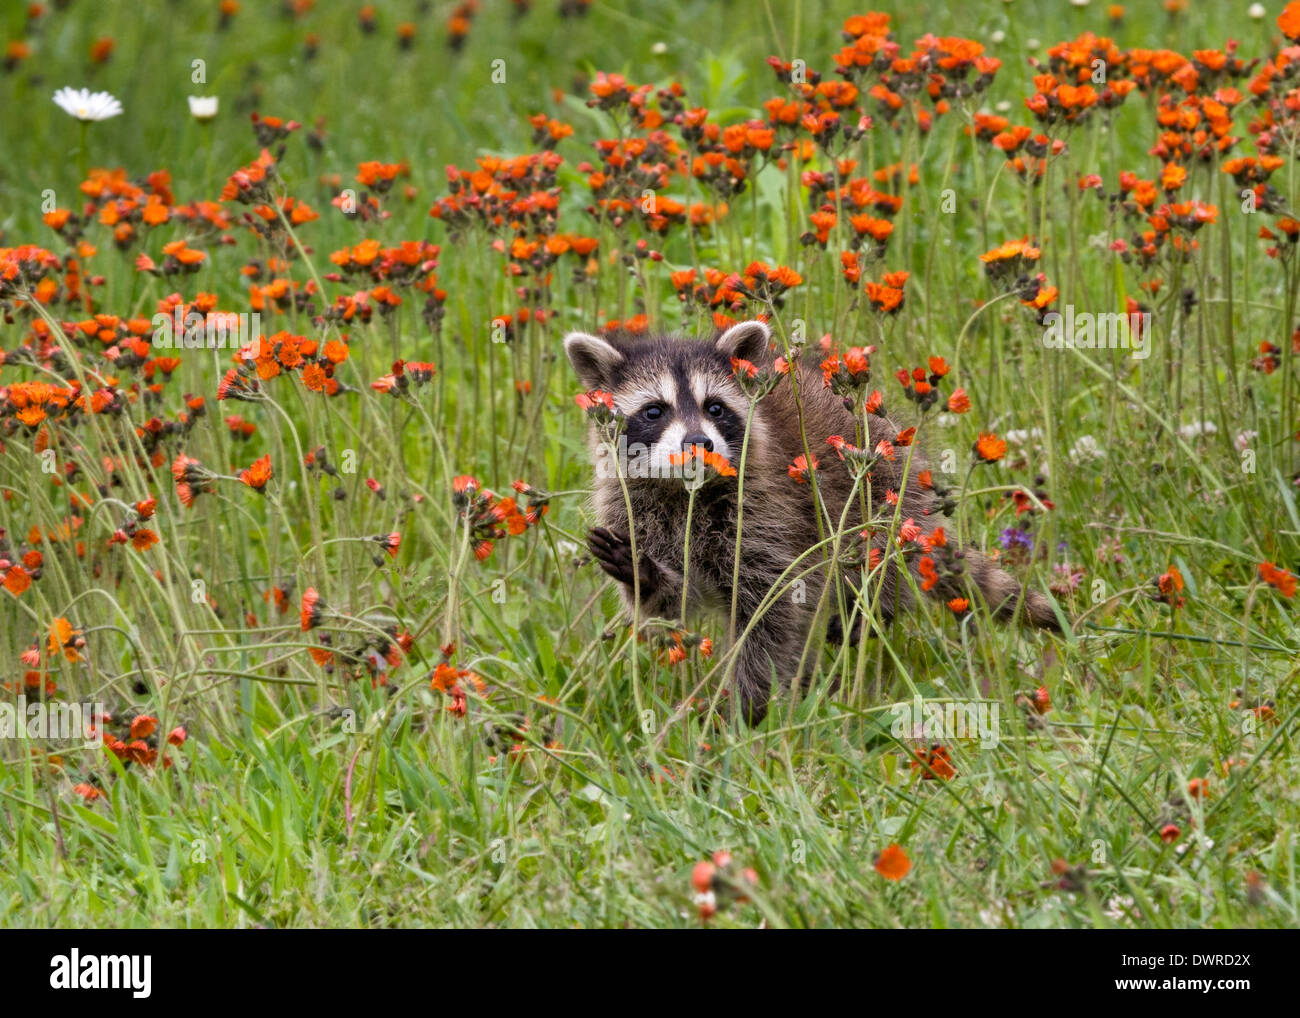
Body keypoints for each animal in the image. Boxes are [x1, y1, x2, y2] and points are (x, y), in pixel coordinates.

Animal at [565, 319, 1061, 724]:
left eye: (715, 408)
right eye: (654, 410)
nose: (698, 443)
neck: (685, 492)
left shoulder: (768, 511)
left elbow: (772, 611)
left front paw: (749, 707)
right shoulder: (633, 508)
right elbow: (667, 605)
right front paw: (642, 573)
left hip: (883, 500)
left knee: (873, 580)